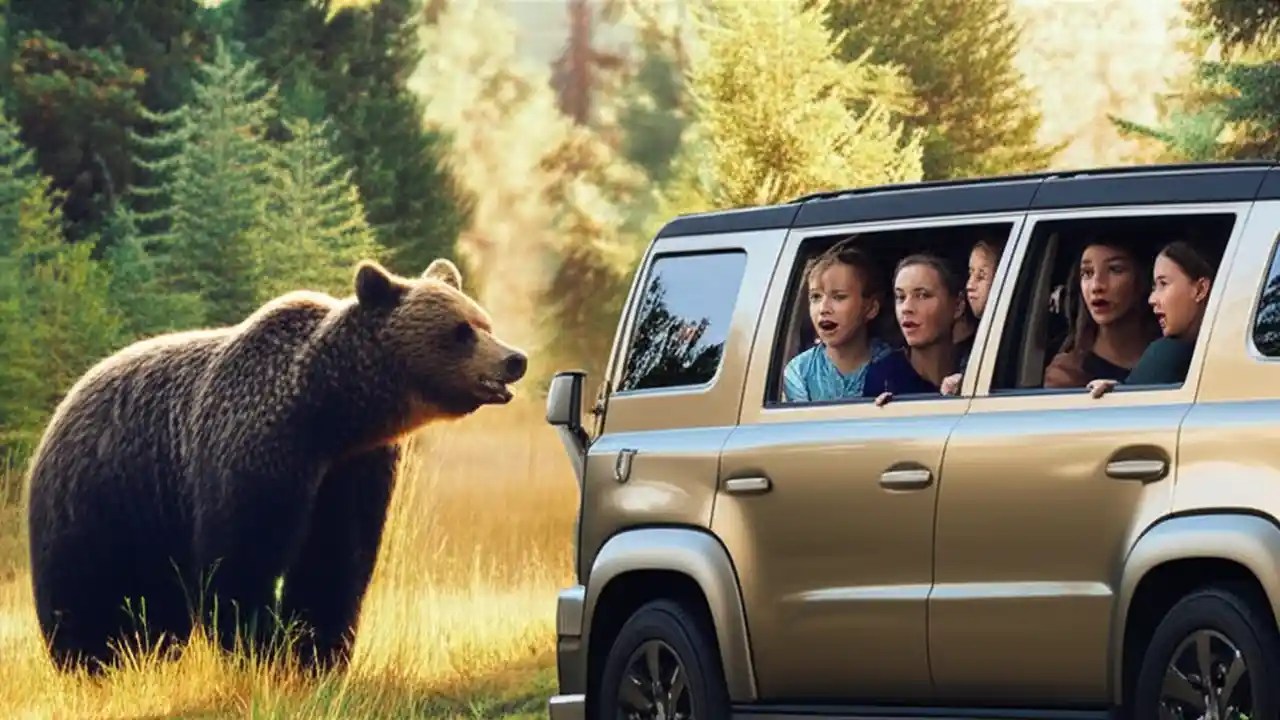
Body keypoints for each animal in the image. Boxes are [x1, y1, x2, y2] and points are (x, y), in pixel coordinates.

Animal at [23, 257, 527, 674]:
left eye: (484, 321)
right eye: (460, 331)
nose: (514, 359)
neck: (327, 415)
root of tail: (61, 408)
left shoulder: (352, 469)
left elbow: (337, 560)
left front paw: (317, 654)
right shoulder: (253, 451)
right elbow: (242, 558)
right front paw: (259, 651)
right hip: (100, 503)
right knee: (84, 597)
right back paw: (93, 663)